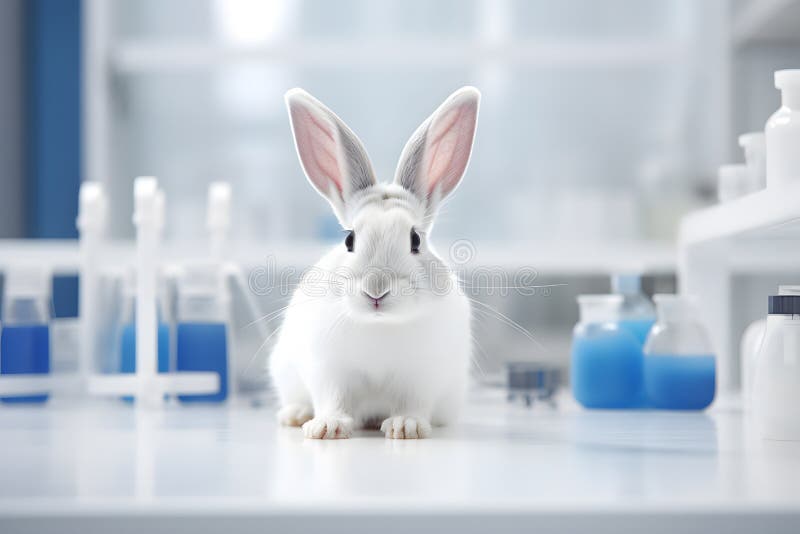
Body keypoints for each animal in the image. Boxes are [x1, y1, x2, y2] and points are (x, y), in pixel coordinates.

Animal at [269, 86, 480, 439]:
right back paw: (296, 416)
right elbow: (334, 399)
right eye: (349, 240)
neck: (380, 326)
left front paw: (406, 427)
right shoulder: (329, 370)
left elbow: (412, 403)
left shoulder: (421, 375)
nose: (376, 290)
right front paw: (327, 428)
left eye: (415, 240)